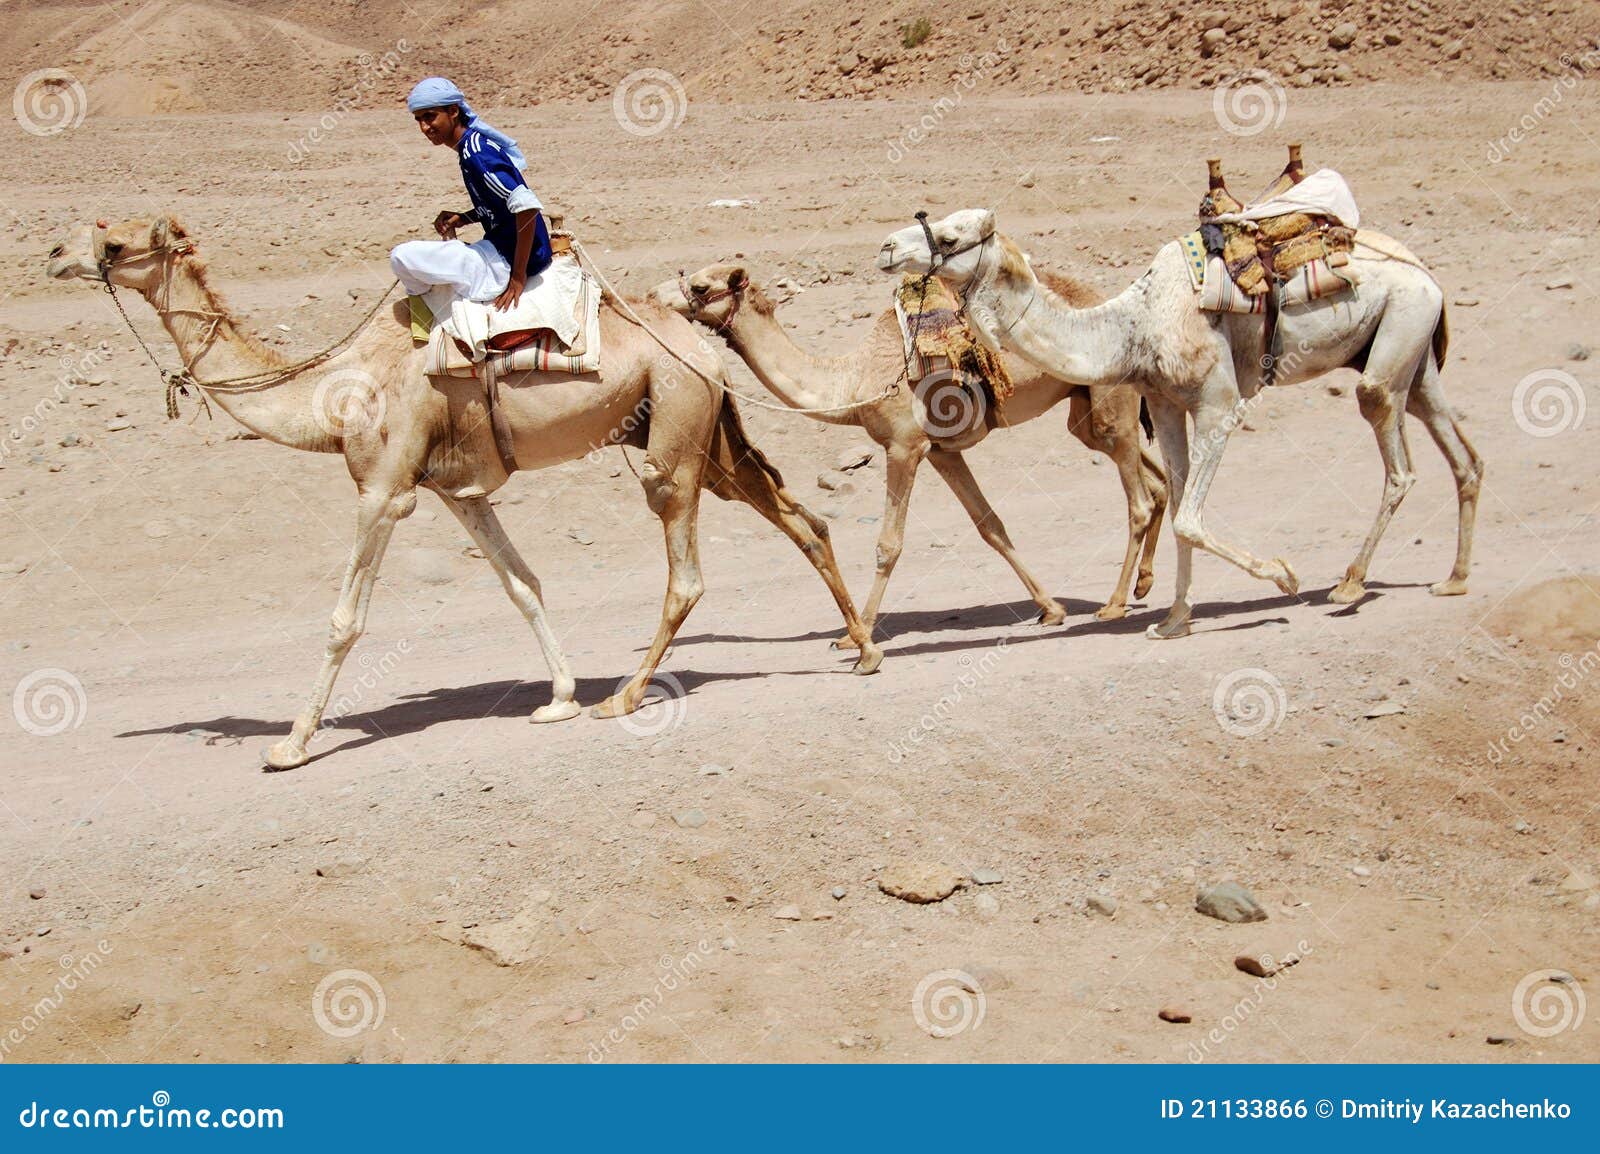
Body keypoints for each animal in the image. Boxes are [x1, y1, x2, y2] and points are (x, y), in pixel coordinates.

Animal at [47, 215, 881, 769]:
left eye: (115, 244)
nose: (55, 252)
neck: (331, 393)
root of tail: (701, 349)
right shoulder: (457, 490)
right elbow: (522, 584)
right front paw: (557, 696)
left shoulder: (384, 488)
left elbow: (345, 620)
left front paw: (290, 743)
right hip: (704, 437)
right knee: (799, 516)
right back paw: (863, 650)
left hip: (673, 439)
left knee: (688, 575)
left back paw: (627, 695)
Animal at [648, 264, 1166, 642]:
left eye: (701, 284)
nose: (654, 295)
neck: (853, 379)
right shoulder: (940, 451)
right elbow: (990, 525)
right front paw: (1051, 609)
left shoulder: (903, 446)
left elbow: (888, 545)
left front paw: (857, 639)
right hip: (1084, 409)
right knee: (1154, 479)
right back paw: (1143, 583)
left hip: (1110, 397)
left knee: (1139, 500)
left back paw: (1114, 604)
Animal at [876, 209, 1482, 639]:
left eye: (949, 237)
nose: (886, 247)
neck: (1130, 327)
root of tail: (1425, 272)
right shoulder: (1166, 403)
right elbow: (1177, 507)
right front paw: (1173, 621)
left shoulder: (1218, 401)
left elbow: (1189, 516)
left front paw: (1283, 574)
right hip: (1413, 353)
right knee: (1464, 455)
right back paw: (1453, 580)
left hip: (1395, 340)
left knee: (1397, 457)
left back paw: (1350, 584)